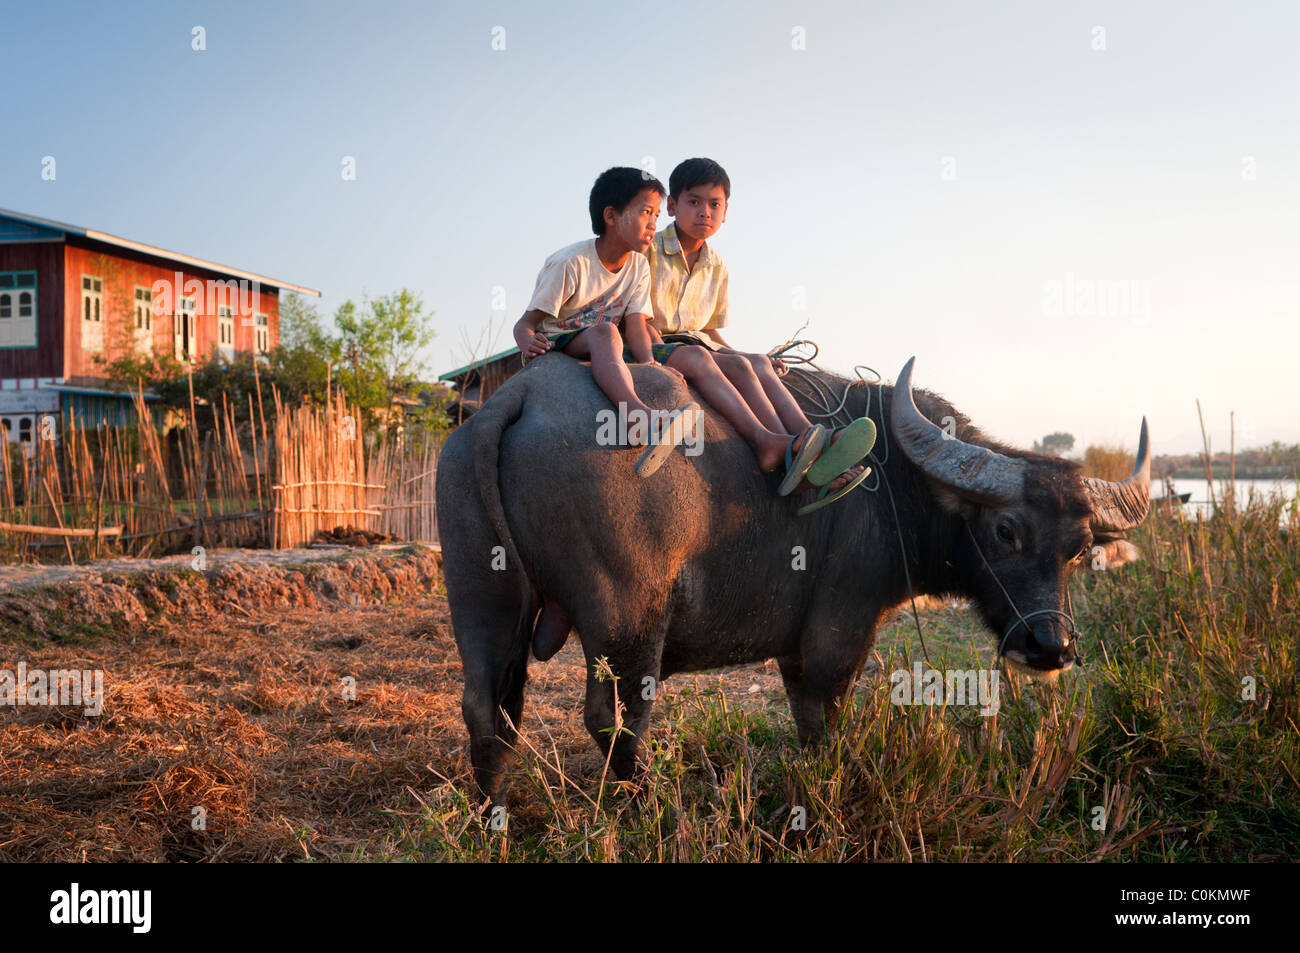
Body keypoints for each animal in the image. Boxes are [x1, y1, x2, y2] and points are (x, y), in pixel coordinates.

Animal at [436, 355, 1150, 804]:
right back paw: (645, 802)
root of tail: (516, 395)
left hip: (481, 598)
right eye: (1006, 530)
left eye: (1079, 548)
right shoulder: (839, 632)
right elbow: (823, 720)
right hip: (630, 621)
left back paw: (494, 818)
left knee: (489, 709)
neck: (895, 481)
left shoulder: (792, 644)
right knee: (615, 719)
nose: (1050, 646)